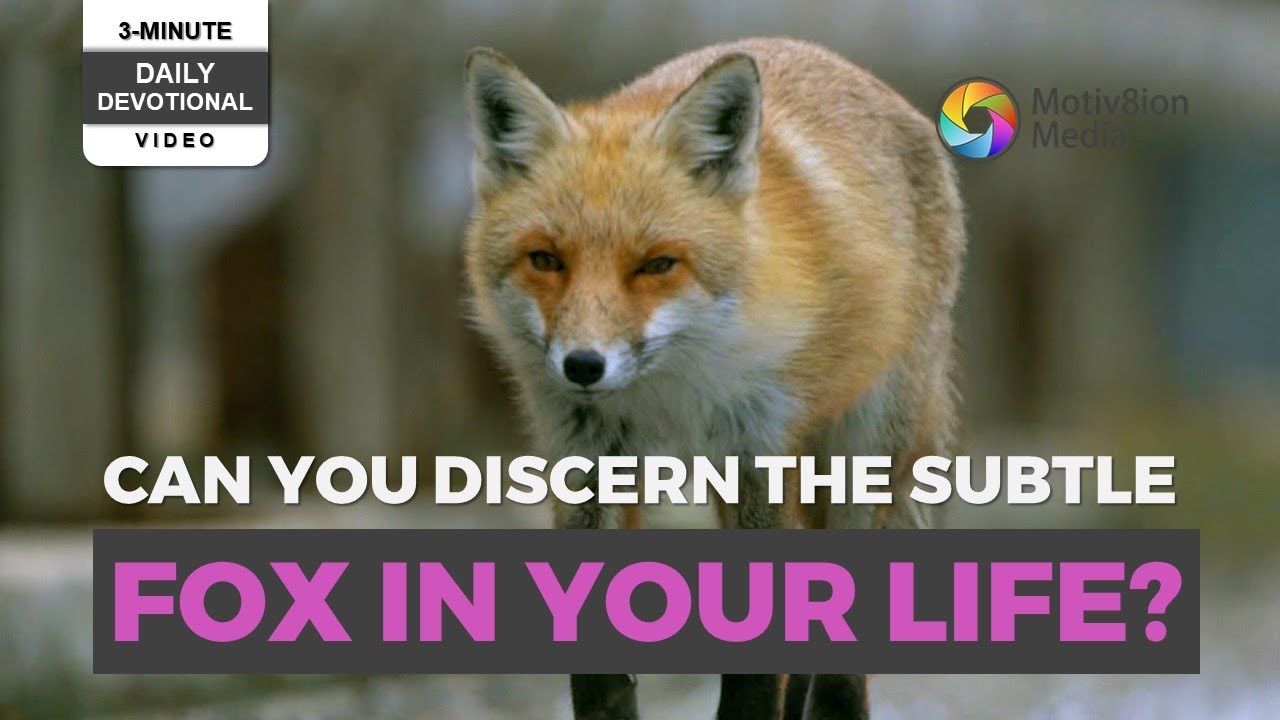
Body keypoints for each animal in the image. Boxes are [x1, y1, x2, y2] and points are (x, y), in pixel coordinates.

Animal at [462, 37, 964, 720]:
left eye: (656, 265)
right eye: (545, 259)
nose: (583, 365)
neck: (672, 387)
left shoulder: (759, 442)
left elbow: (755, 670)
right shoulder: (587, 453)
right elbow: (598, 680)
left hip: (864, 452)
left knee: (841, 664)